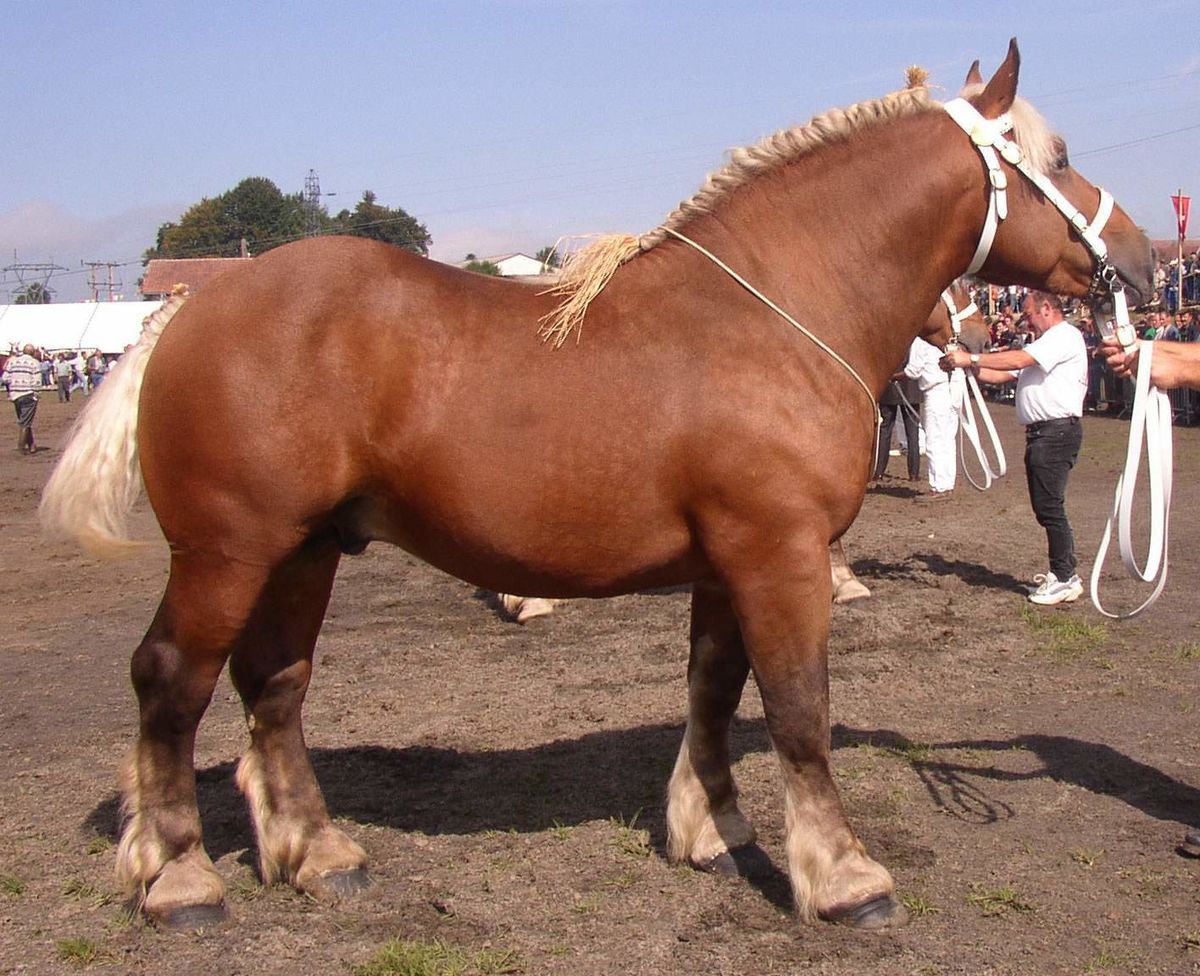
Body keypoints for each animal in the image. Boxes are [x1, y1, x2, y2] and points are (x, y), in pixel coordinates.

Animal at [41, 41, 1152, 933]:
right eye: (1057, 158)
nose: (1141, 259)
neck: (773, 312)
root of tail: (191, 311)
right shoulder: (780, 554)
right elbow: (799, 708)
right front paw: (843, 878)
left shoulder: (726, 564)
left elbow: (713, 689)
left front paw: (713, 829)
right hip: (228, 552)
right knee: (171, 681)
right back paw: (179, 878)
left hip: (304, 550)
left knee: (273, 685)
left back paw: (317, 855)